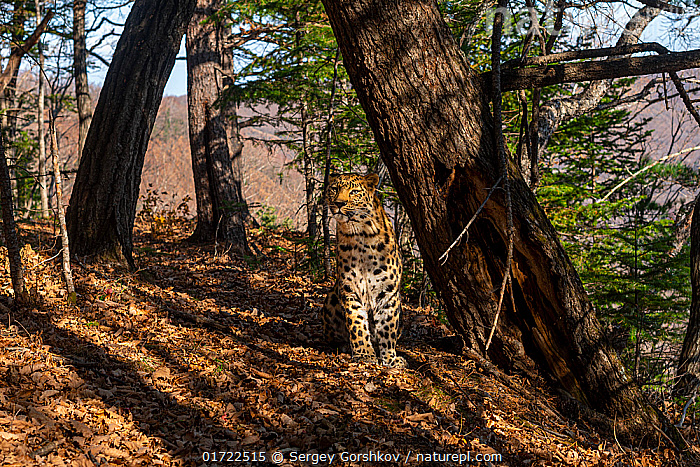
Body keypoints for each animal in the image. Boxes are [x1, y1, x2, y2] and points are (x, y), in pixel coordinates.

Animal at [321, 172, 406, 368]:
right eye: (334, 188)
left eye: (354, 192)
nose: (339, 203)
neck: (360, 235)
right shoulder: (349, 289)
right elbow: (357, 323)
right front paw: (365, 354)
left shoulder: (388, 293)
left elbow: (388, 327)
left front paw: (390, 359)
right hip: (331, 297)